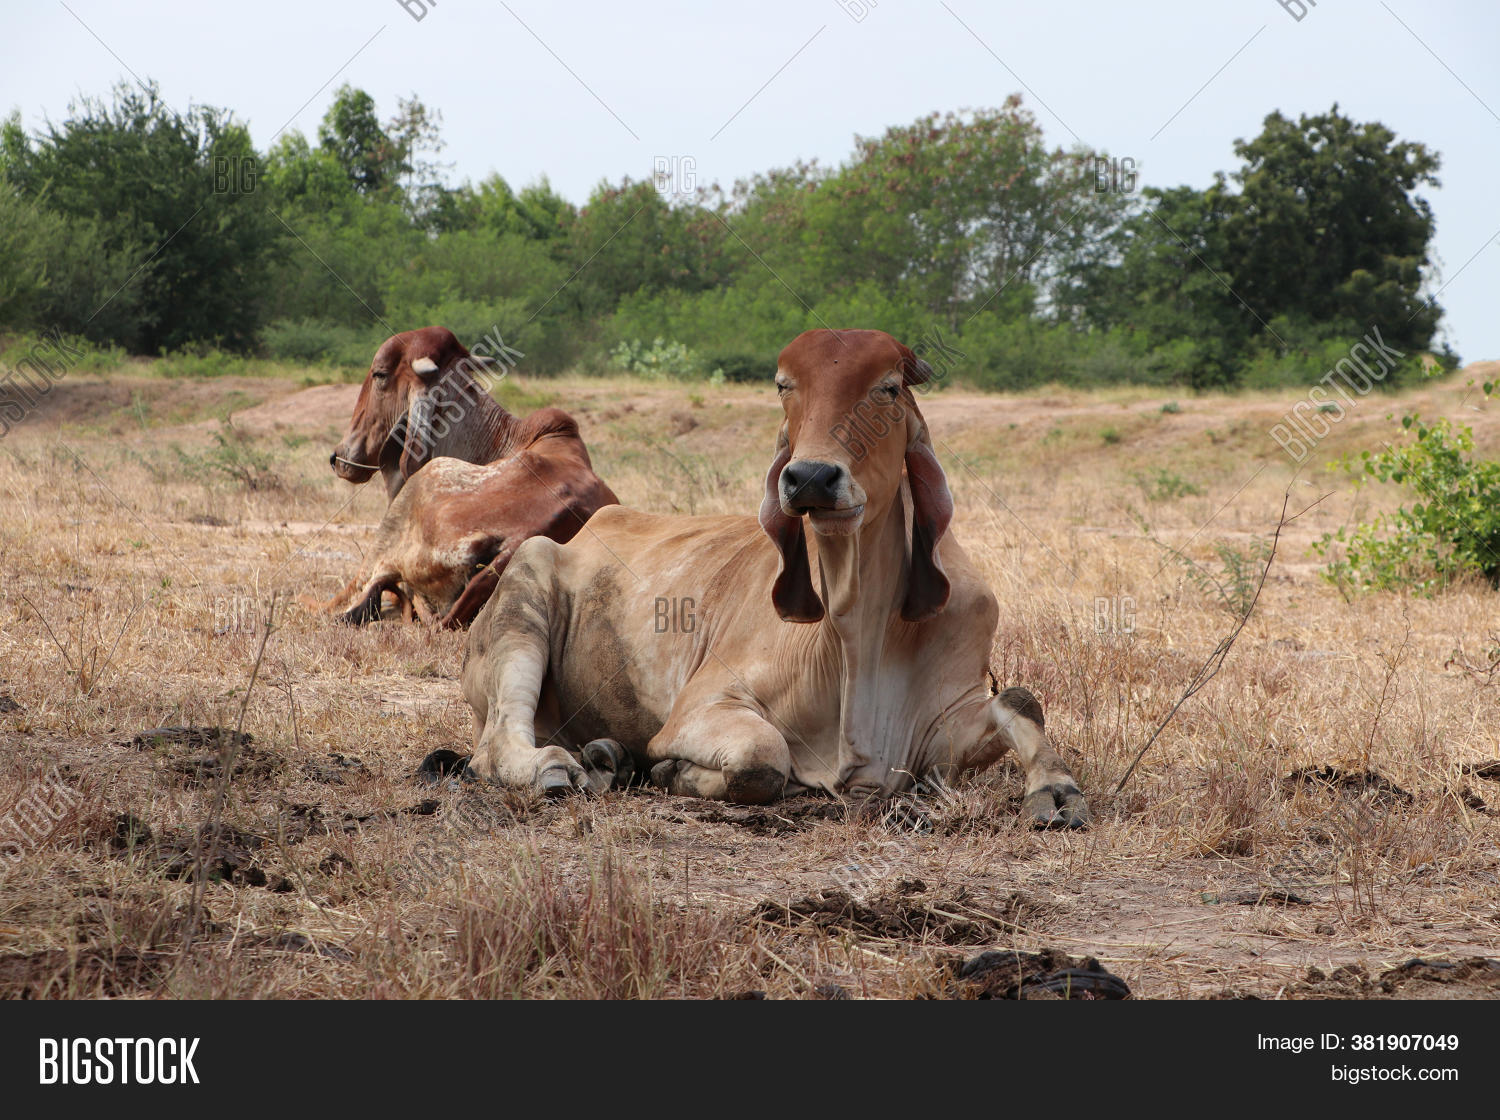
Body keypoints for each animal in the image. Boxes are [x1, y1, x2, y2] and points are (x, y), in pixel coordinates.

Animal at [459, 328, 1091, 825]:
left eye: (887, 388)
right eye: (786, 387)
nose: (810, 477)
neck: (854, 632)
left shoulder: (940, 735)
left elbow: (1020, 701)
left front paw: (1056, 790)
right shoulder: (705, 704)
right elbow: (763, 757)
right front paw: (672, 771)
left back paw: (605, 757)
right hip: (525, 588)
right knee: (495, 744)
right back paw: (558, 768)